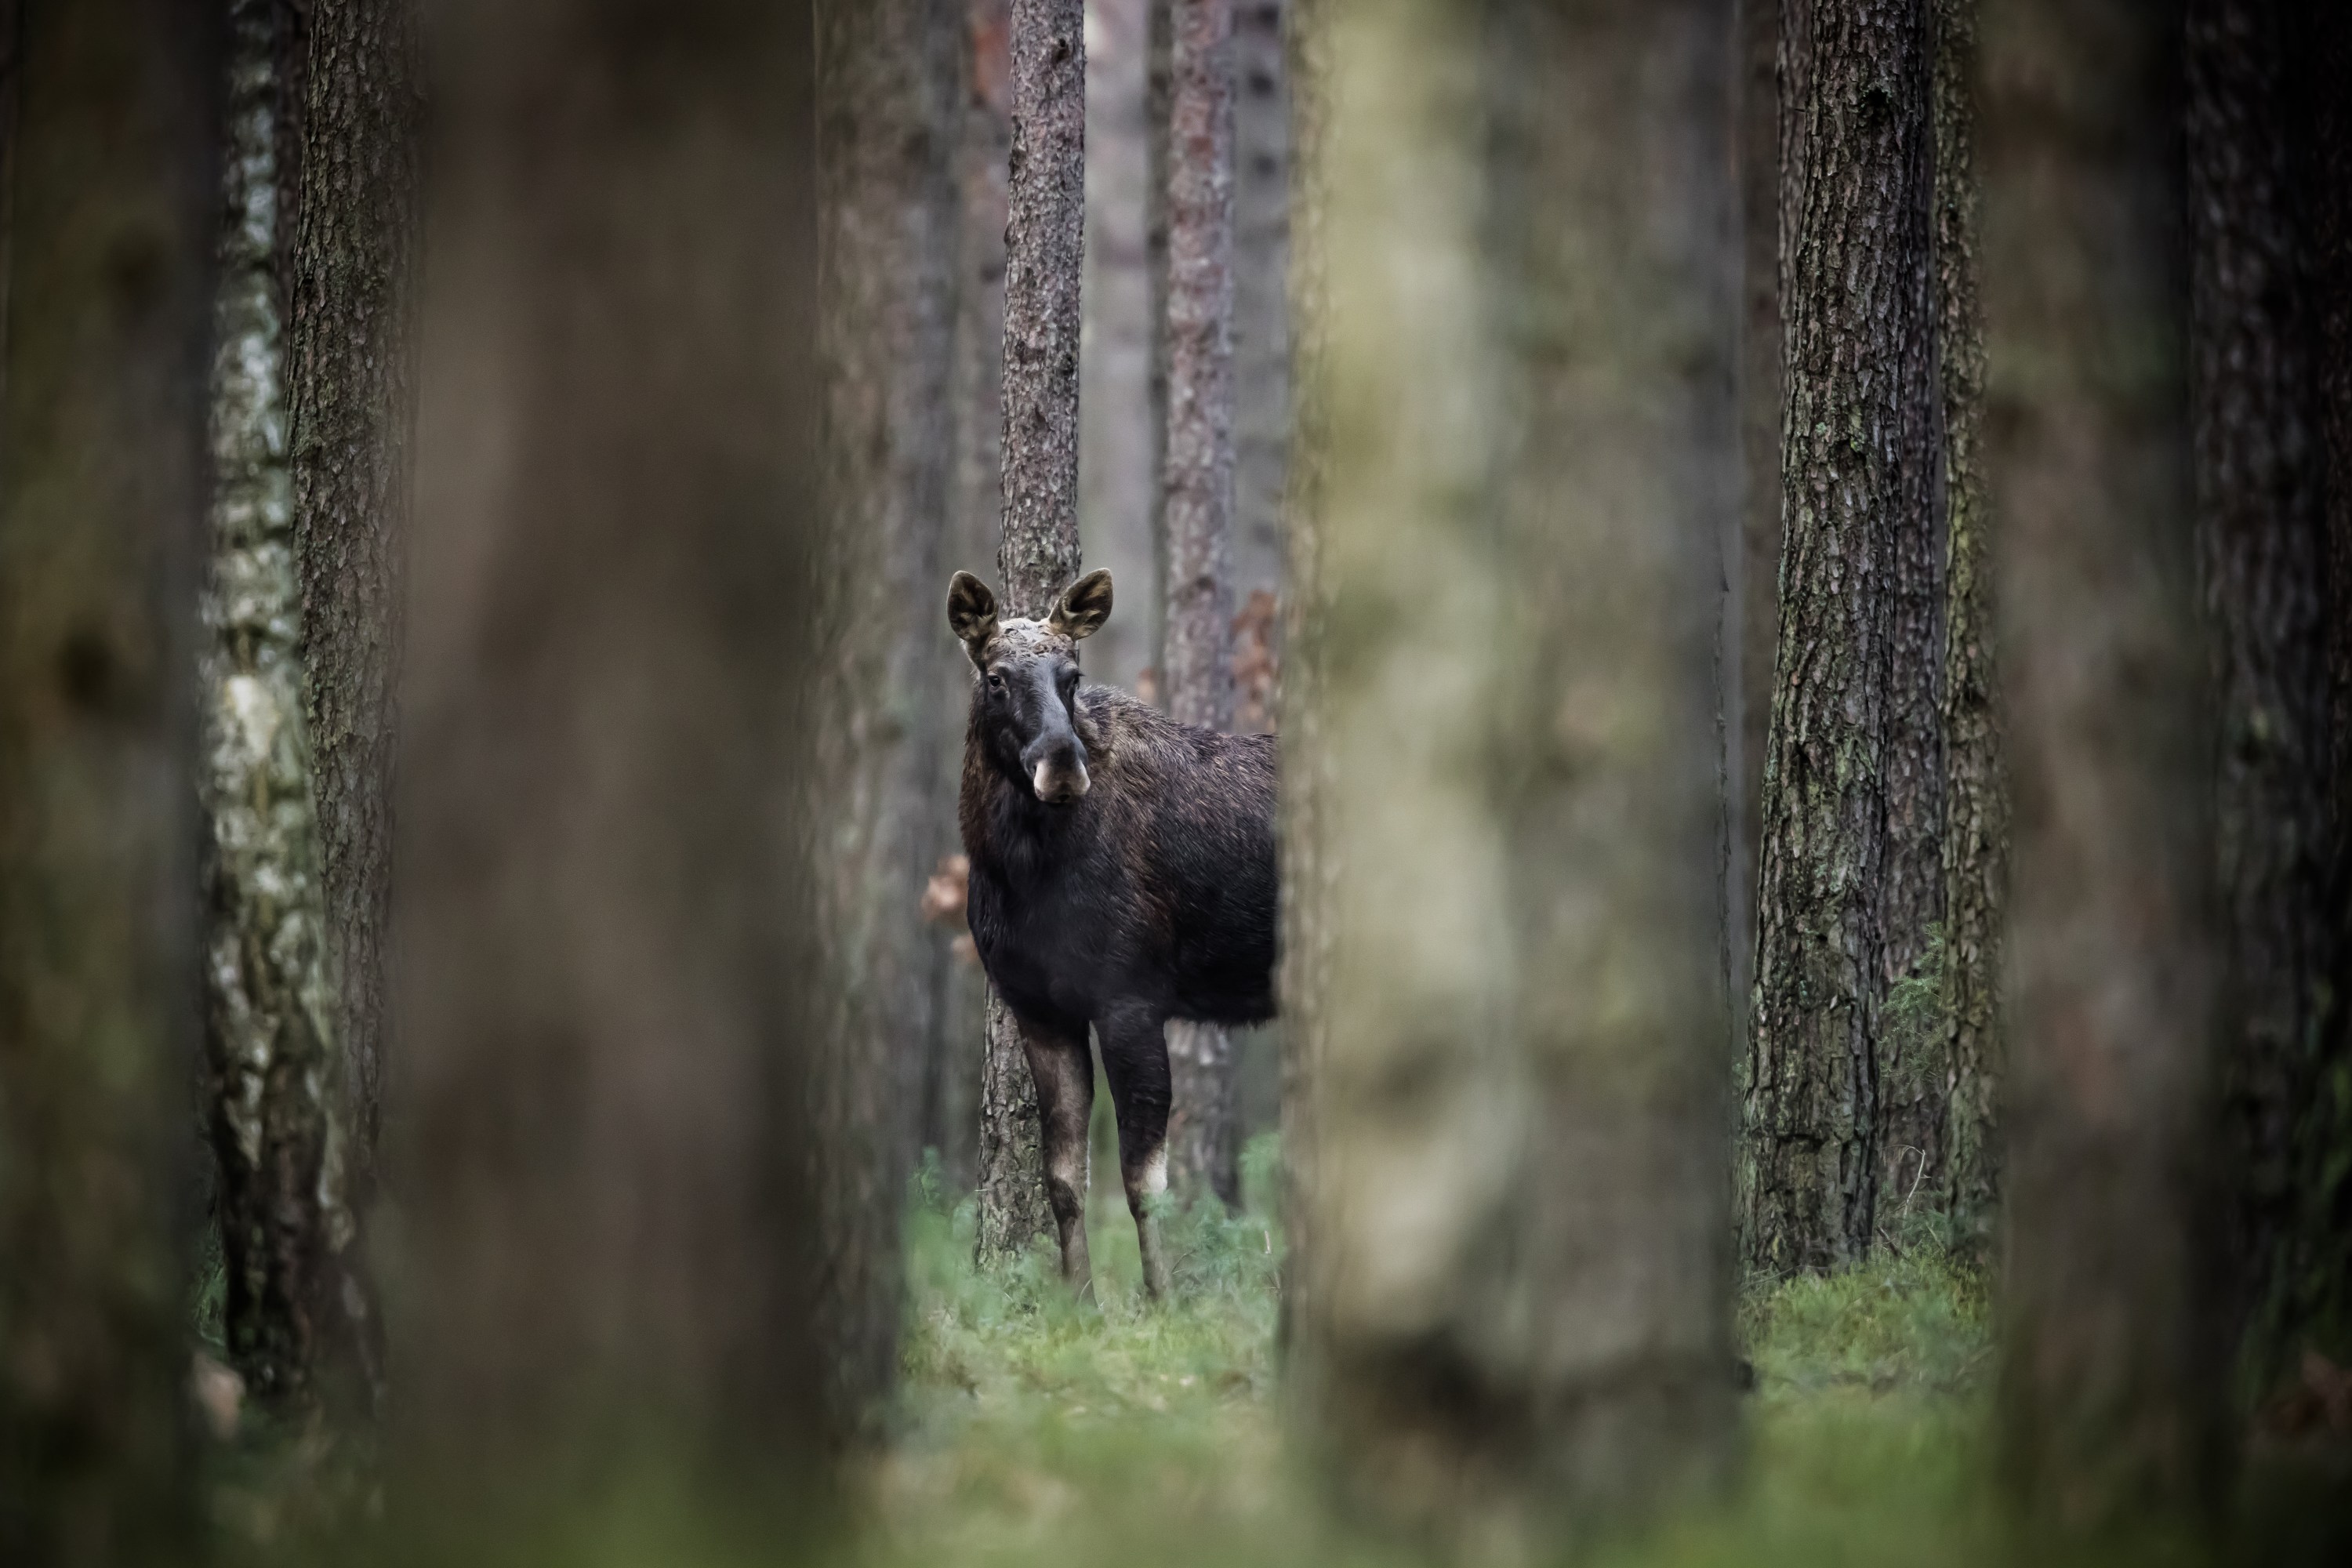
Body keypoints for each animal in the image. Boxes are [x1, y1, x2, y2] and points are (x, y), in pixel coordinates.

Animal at [948, 567, 1277, 1301]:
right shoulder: (1040, 1010)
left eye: (1073, 675)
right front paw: (1080, 1301)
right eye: (995, 677)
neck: (1019, 873)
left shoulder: (1131, 999)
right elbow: (1065, 1180)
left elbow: (1142, 1182)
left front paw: (1159, 1300)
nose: (1062, 765)